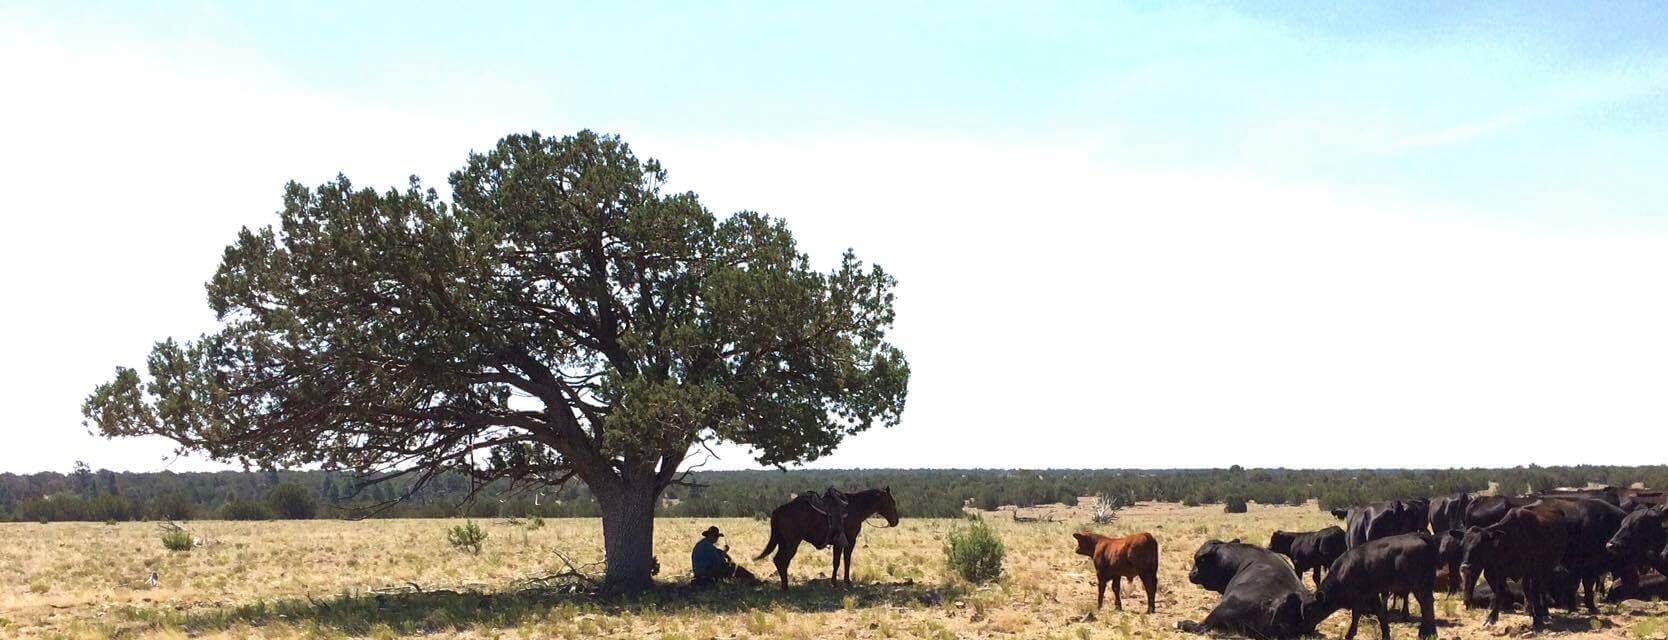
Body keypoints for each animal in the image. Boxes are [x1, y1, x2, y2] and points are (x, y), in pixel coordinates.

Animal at [1306, 532, 1439, 640]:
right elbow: (1379, 612)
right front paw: (1386, 634)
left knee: (1426, 605)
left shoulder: (1358, 598)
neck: (1343, 572)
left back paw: (1426, 634)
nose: (1306, 632)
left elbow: (1356, 615)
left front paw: (1349, 634)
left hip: (1419, 586)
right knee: (1428, 604)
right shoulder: (1371, 594)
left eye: (1311, 611)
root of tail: (1418, 535)